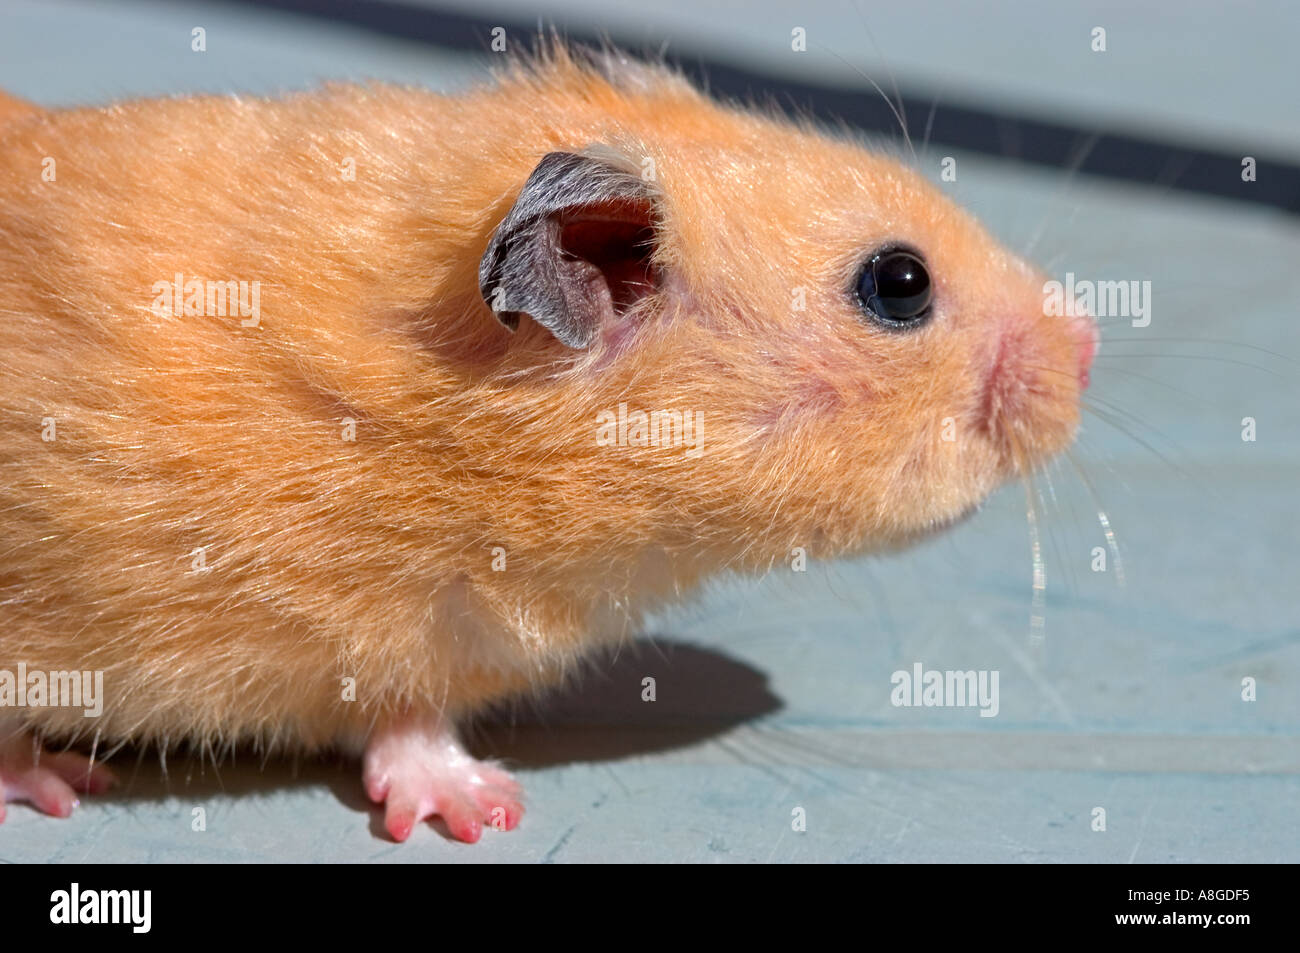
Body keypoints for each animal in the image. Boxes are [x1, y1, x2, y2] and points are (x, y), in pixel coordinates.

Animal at [0, 47, 1094, 842]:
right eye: (898, 284)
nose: (1086, 343)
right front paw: (57, 780)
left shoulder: (410, 644)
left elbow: (405, 728)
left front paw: (481, 811)